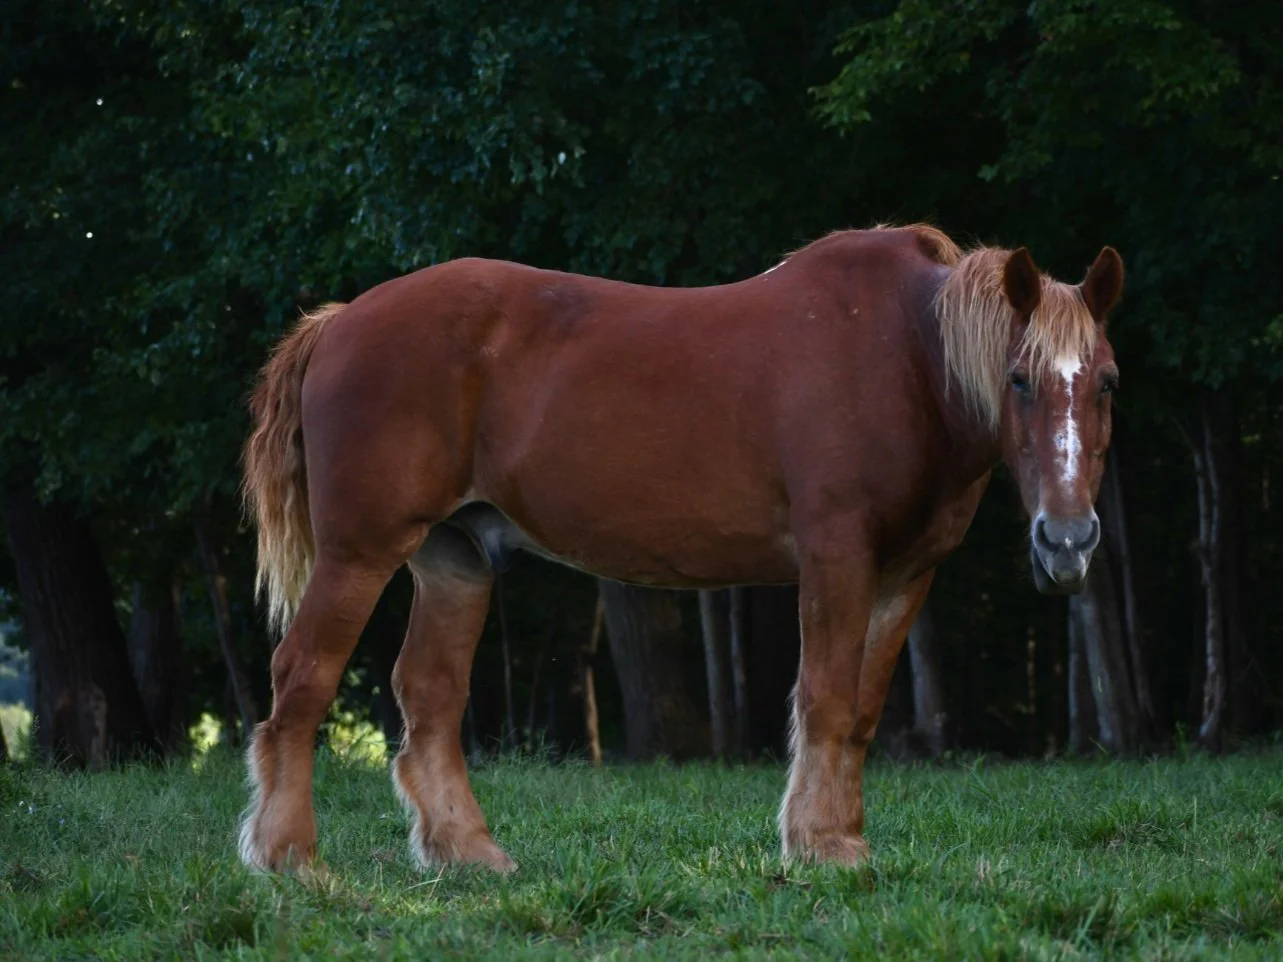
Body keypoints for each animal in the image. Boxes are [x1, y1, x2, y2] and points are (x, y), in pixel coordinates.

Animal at [239, 223, 1122, 874]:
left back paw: (468, 854)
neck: (903, 352)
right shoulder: (835, 556)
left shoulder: (906, 574)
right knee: (302, 677)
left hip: (454, 561)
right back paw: (289, 857)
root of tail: (339, 322)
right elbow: (825, 697)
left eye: (1106, 382)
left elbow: (864, 710)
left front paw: (843, 837)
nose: (1067, 540)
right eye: (1017, 378)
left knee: (428, 694)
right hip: (360, 553)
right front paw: (816, 845)